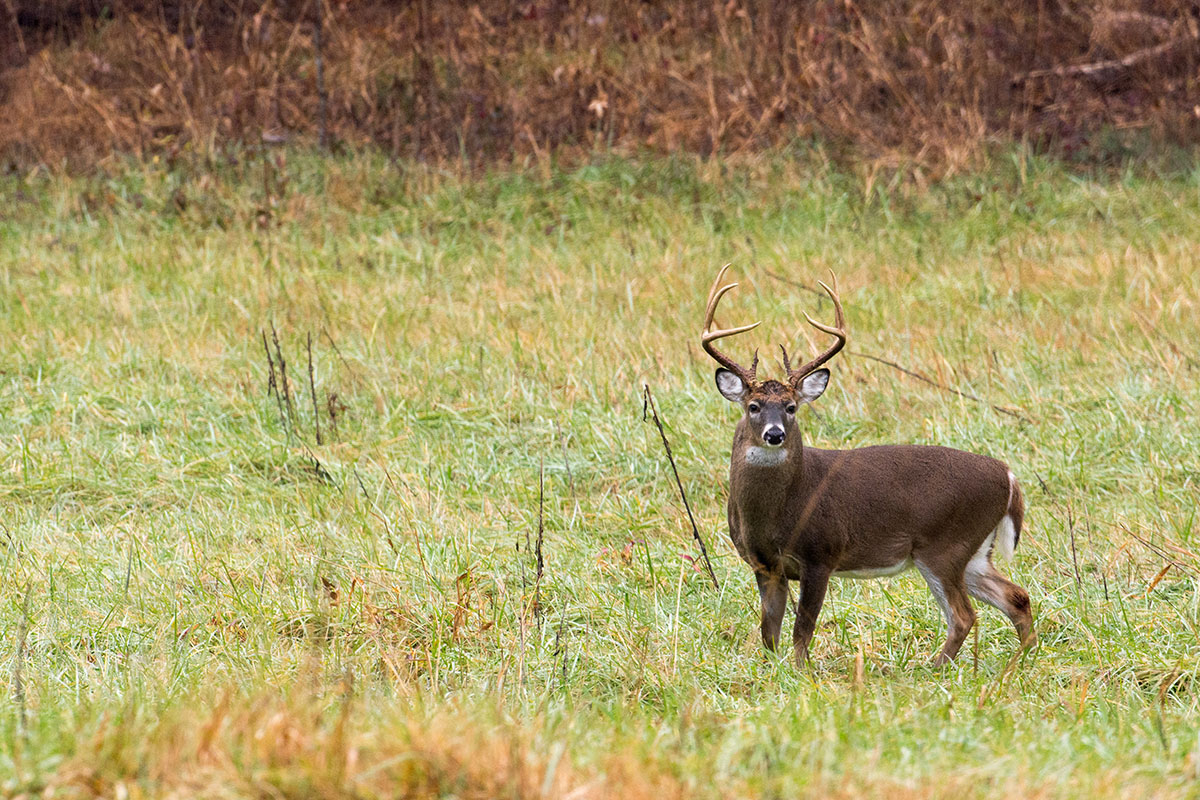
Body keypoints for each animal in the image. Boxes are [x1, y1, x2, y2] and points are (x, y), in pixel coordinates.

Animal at [701, 265, 1036, 668]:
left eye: (791, 407)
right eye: (753, 406)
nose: (775, 434)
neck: (776, 514)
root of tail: (1008, 475)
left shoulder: (821, 552)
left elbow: (802, 630)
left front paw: (801, 672)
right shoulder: (764, 564)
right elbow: (769, 632)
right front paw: (771, 670)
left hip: (945, 544)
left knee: (964, 614)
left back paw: (933, 667)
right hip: (973, 552)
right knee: (1016, 597)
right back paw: (1022, 660)